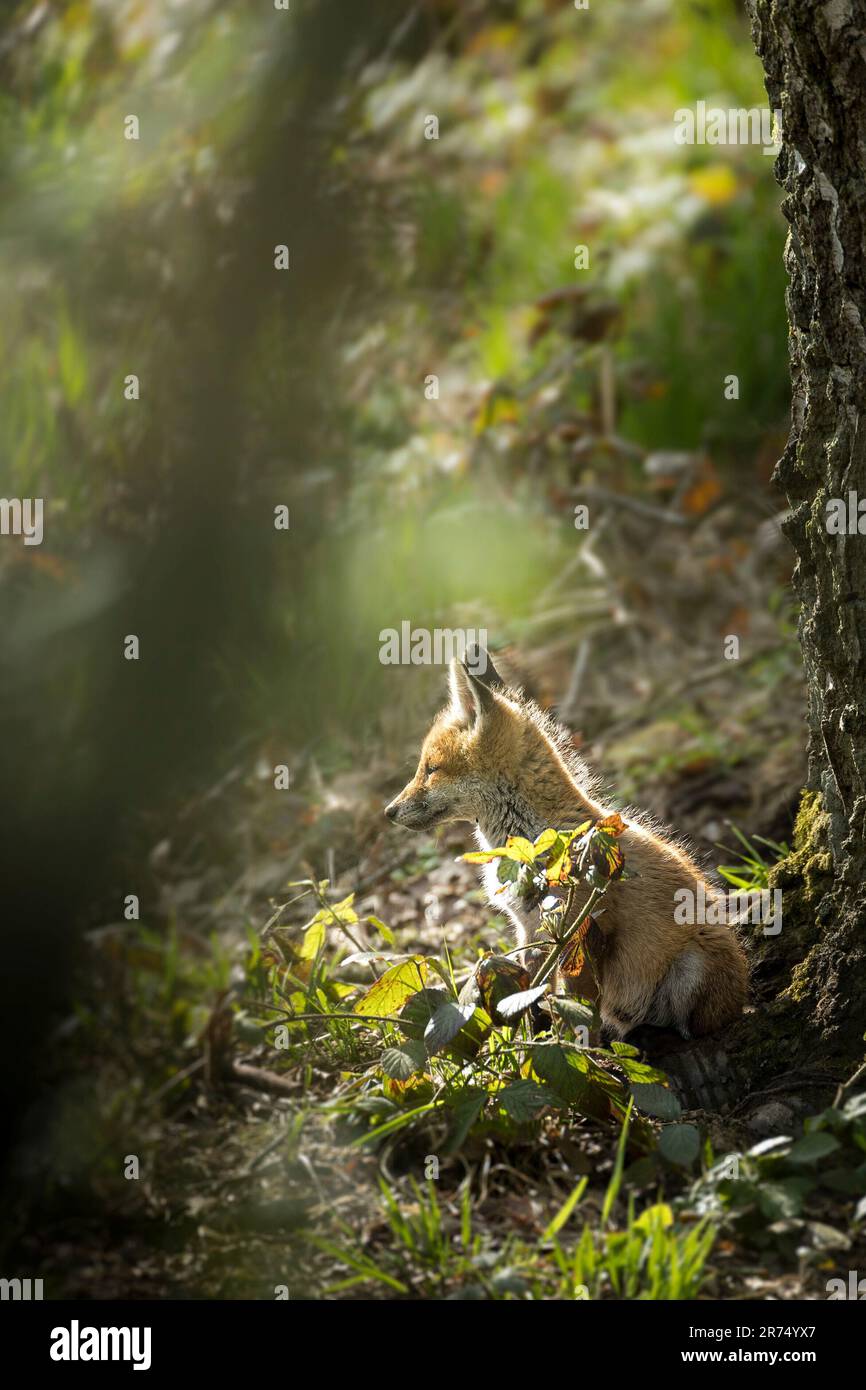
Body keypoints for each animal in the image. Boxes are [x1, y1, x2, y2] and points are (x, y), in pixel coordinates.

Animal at [384, 646, 748, 1041]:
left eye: (431, 769)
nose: (389, 811)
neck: (531, 841)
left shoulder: (579, 931)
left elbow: (576, 1010)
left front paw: (579, 1049)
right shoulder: (529, 929)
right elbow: (531, 997)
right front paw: (532, 1043)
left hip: (691, 967)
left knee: (690, 1027)